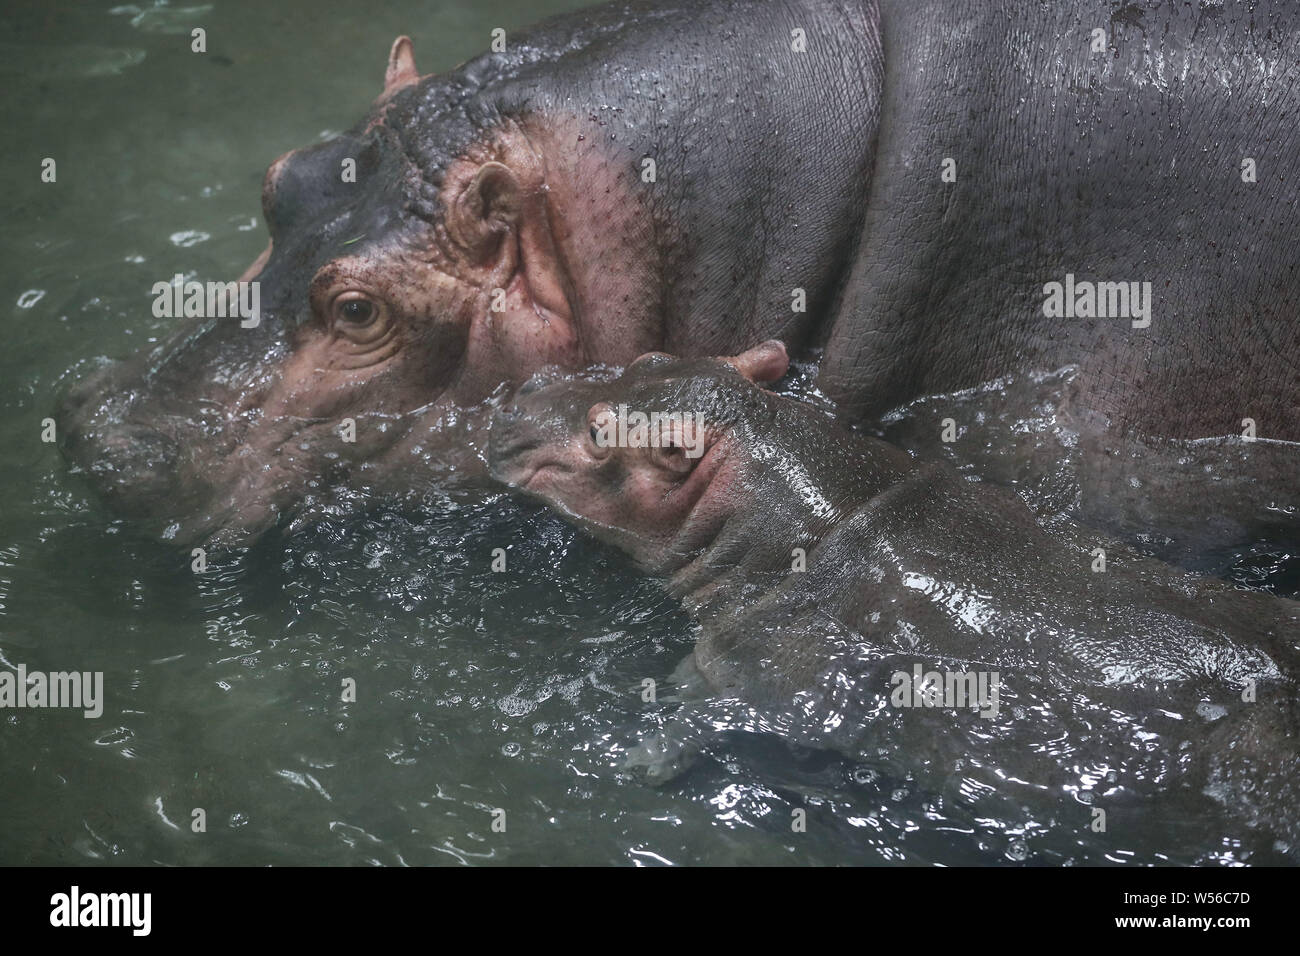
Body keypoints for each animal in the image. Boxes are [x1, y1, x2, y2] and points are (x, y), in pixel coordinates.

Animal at [488, 342, 1300, 839]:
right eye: (650, 355)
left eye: (602, 433)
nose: (517, 399)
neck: (824, 508)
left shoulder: (777, 680)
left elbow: (706, 716)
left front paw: (638, 762)